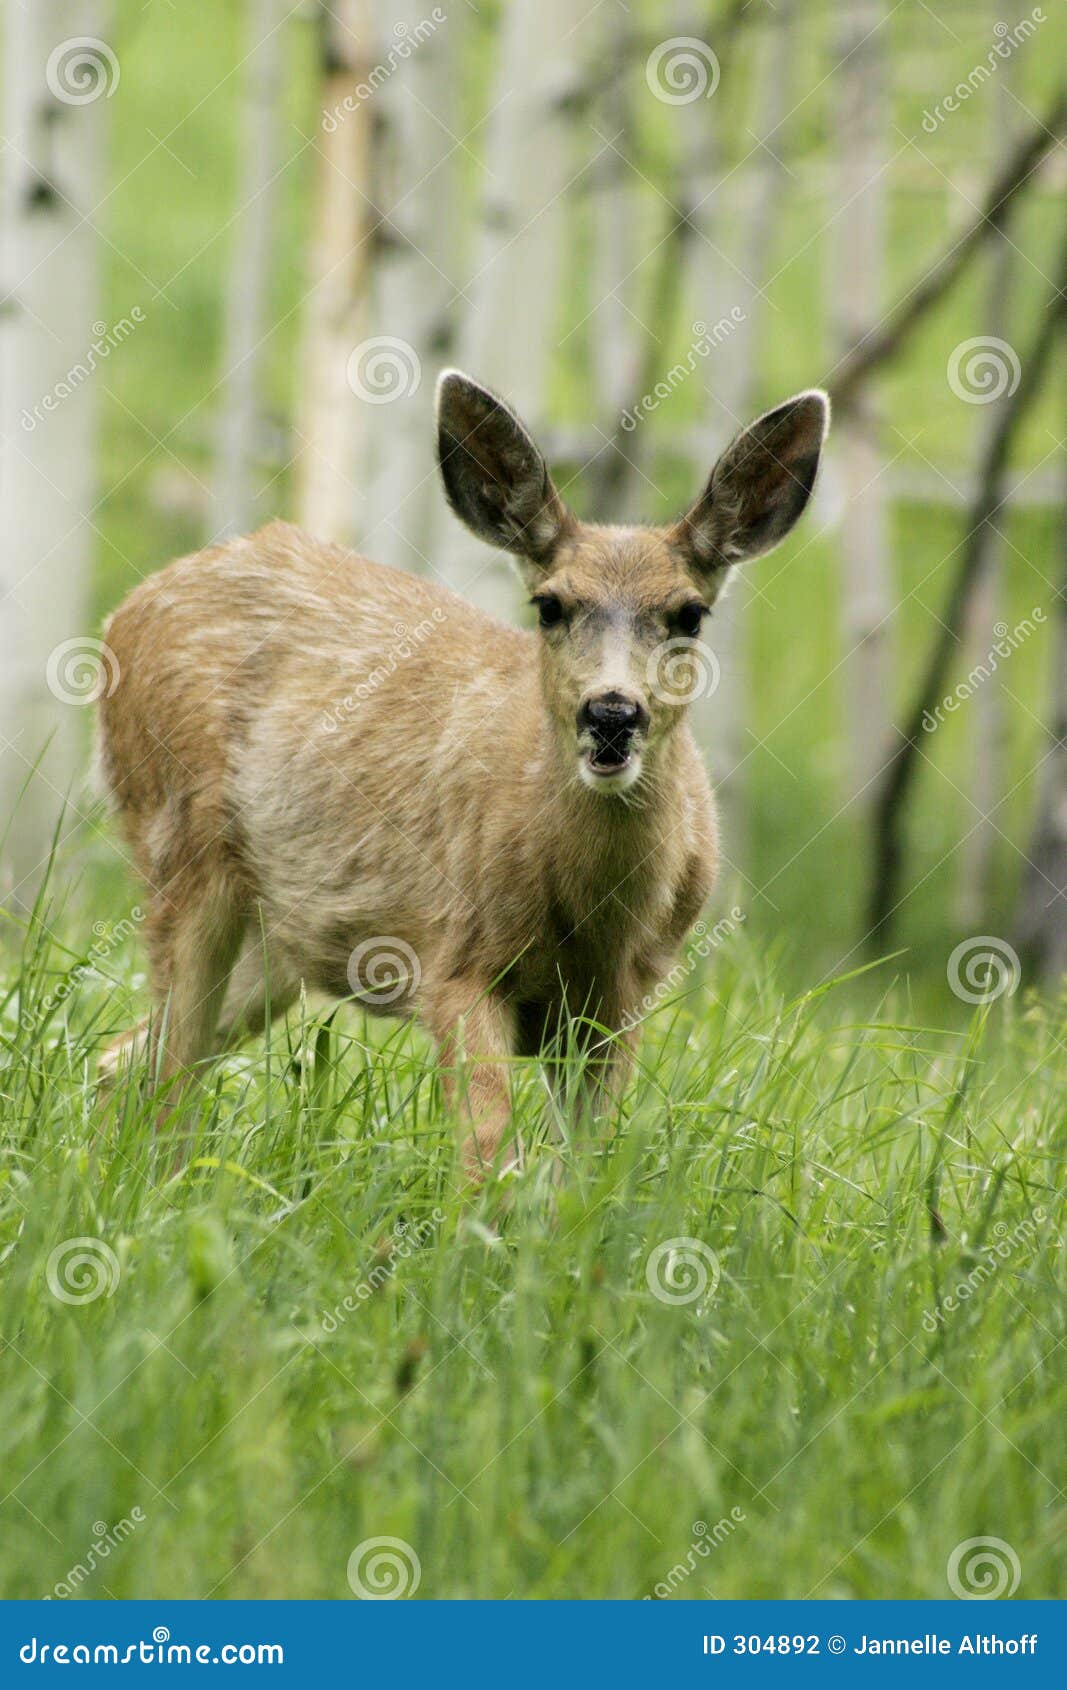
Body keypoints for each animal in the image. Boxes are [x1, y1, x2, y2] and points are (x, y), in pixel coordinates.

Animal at [96, 371, 828, 1174]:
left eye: (689, 614)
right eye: (550, 605)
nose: (611, 712)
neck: (592, 922)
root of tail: (124, 612)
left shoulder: (622, 998)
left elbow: (582, 1164)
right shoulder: (456, 959)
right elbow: (488, 1155)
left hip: (281, 933)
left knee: (125, 1057)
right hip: (179, 840)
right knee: (170, 1071)